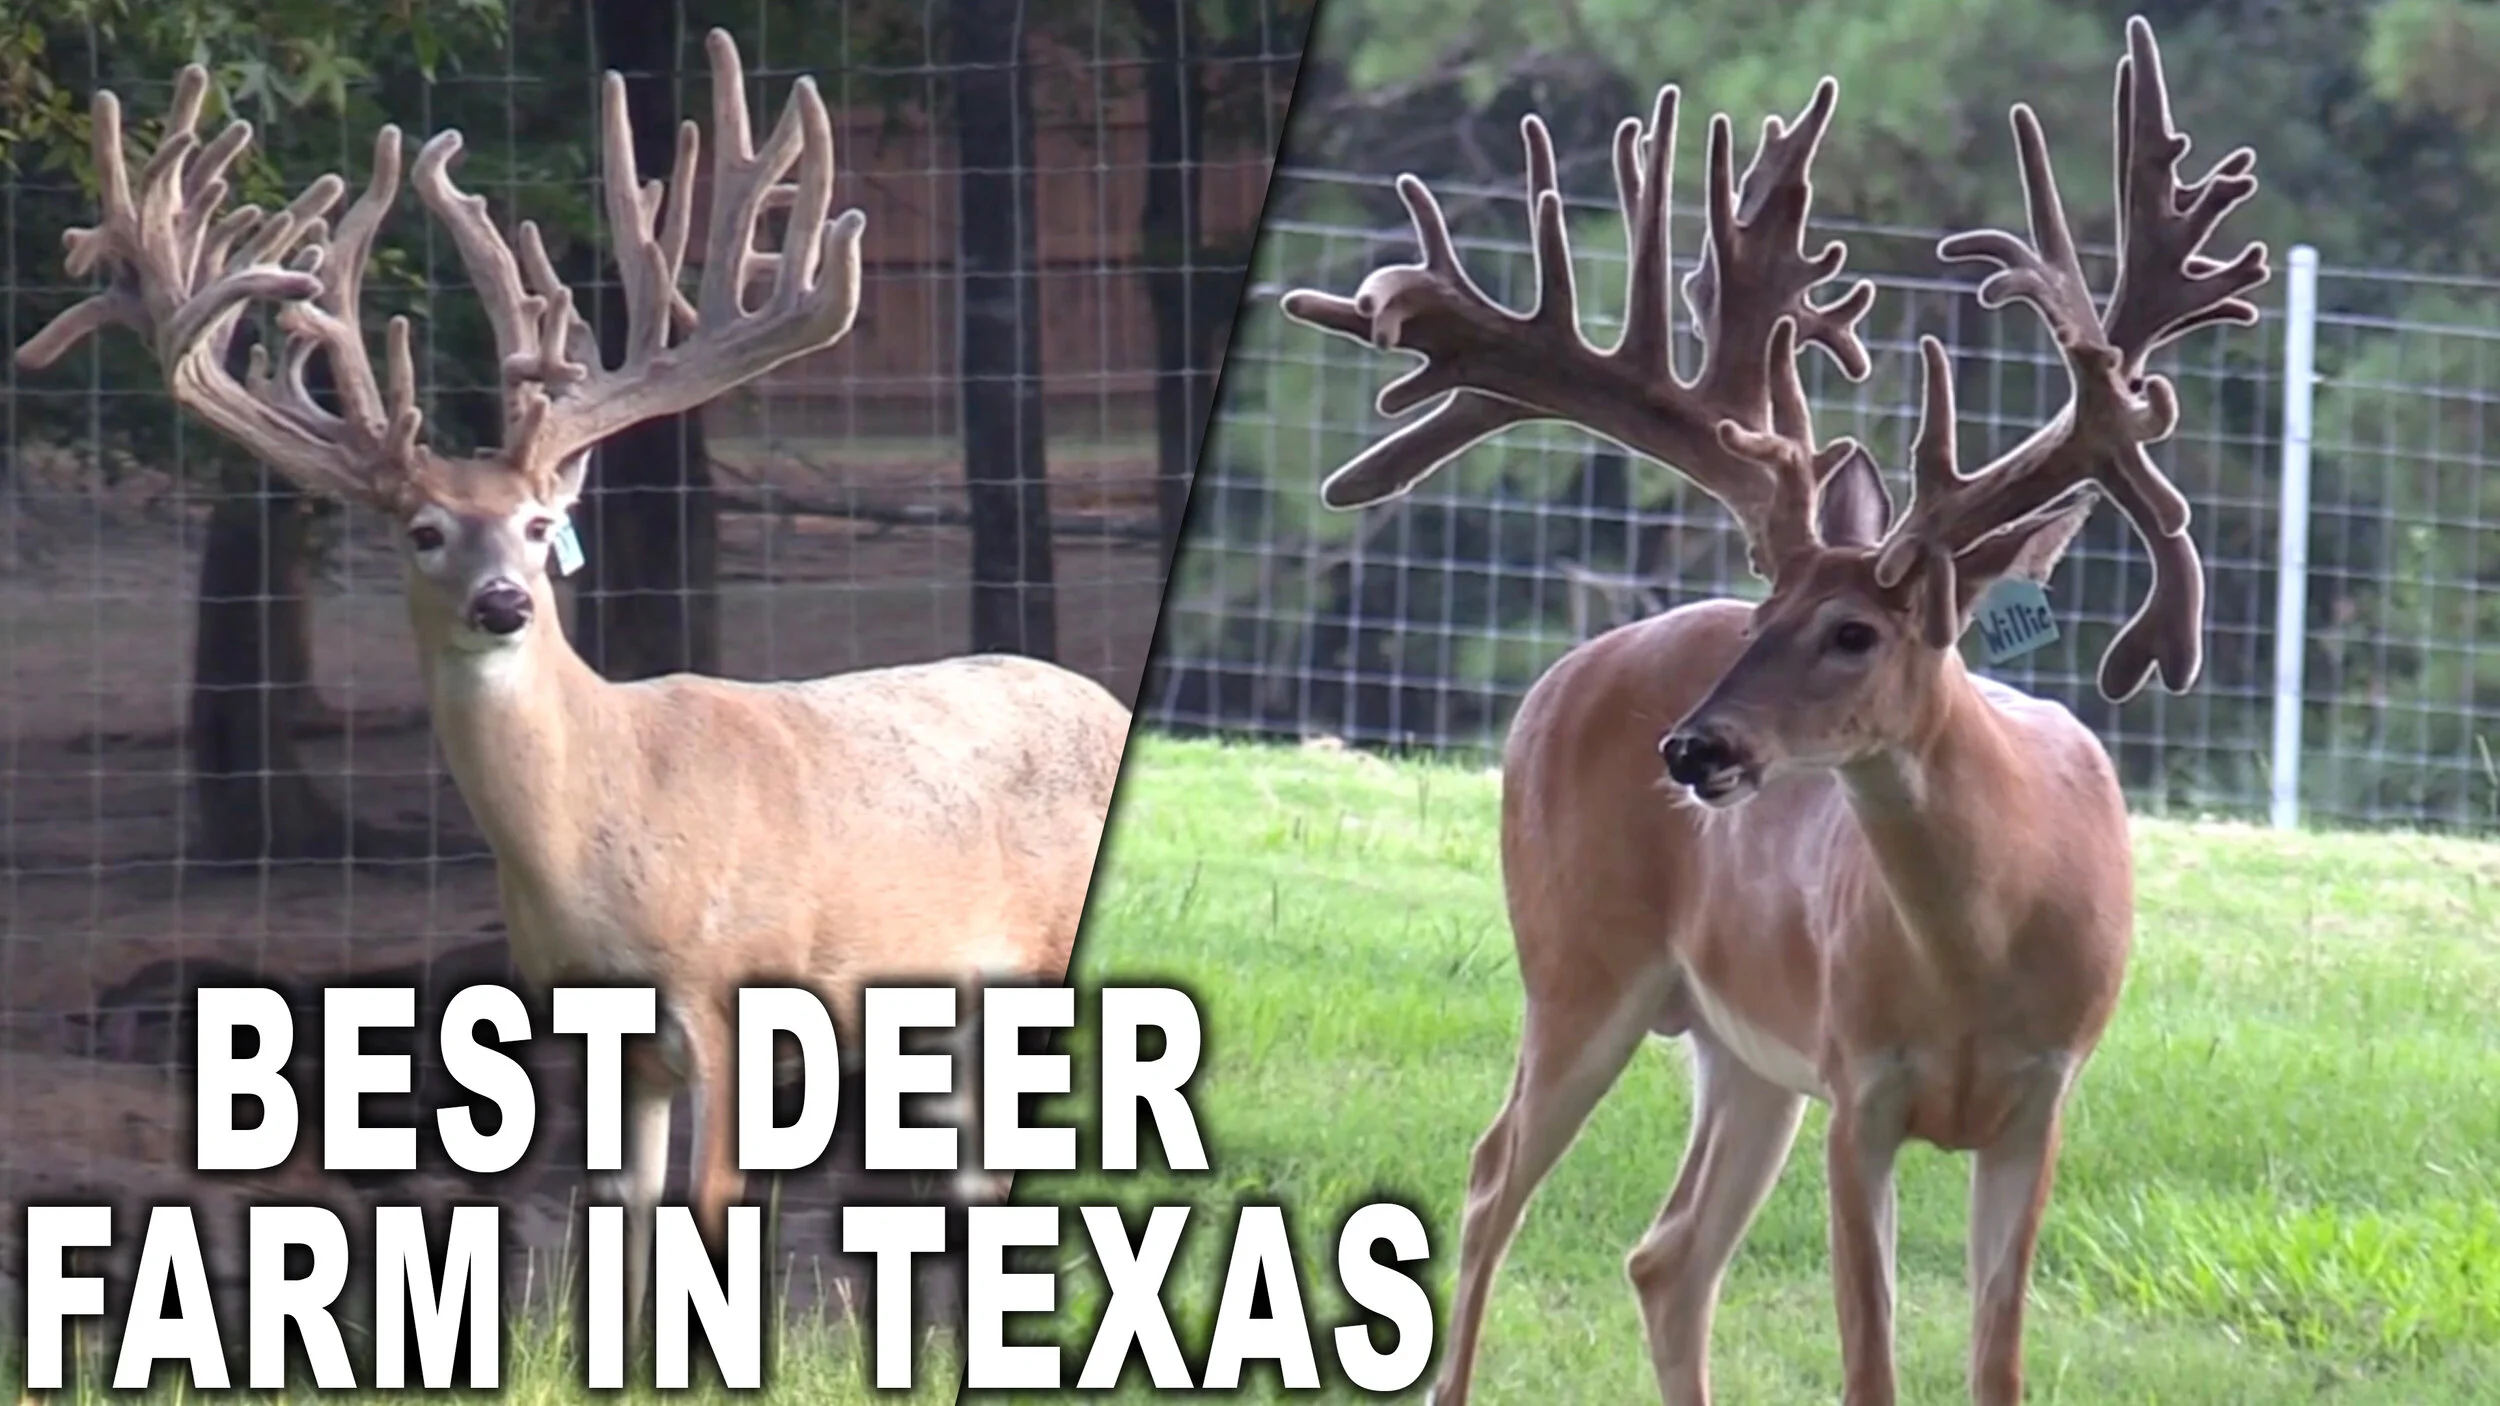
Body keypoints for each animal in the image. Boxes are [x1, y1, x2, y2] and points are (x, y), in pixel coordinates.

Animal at [17, 30, 1131, 1346]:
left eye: (543, 524)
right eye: (425, 532)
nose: (505, 601)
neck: (612, 825)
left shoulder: (737, 996)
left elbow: (710, 1213)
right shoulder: (599, 1032)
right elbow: (619, 1221)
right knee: (970, 1182)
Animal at [1279, 17, 2262, 1406]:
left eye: (1854, 631)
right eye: (1757, 617)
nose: (1693, 746)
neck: (1979, 950)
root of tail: (1555, 681)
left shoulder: (2040, 1096)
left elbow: (1995, 1362)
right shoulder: (1859, 1083)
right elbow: (1870, 1360)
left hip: (1738, 1050)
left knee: (1665, 1252)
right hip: (1576, 961)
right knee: (1488, 1179)